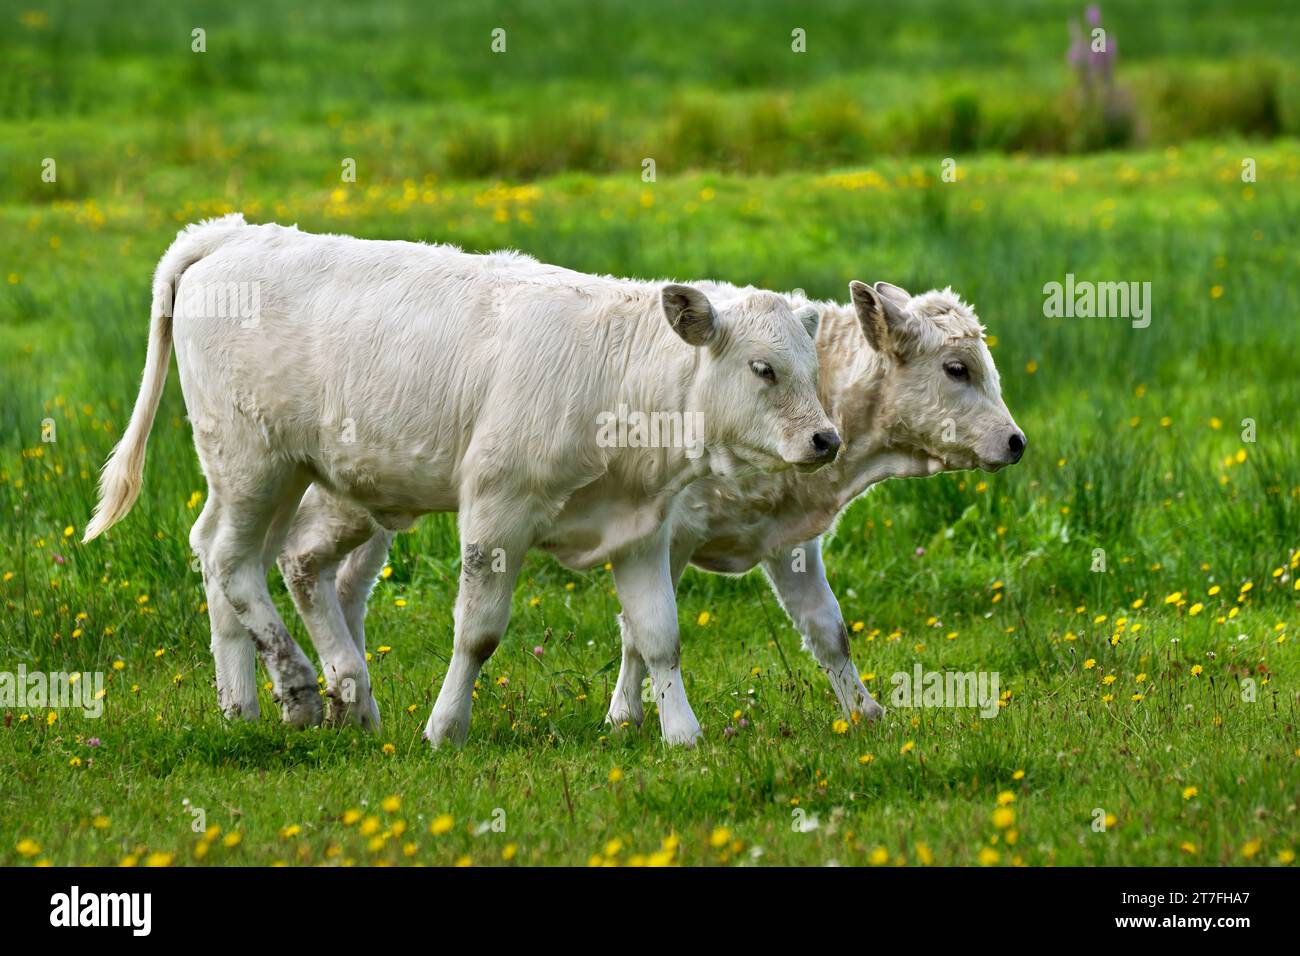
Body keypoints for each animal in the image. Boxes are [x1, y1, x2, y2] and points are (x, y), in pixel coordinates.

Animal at [83, 214, 840, 748]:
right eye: (763, 369)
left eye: (812, 366)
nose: (825, 439)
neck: (616, 376)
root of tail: (228, 234)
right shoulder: (497, 511)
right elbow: (478, 632)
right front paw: (446, 728)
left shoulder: (639, 532)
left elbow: (658, 634)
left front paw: (682, 735)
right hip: (249, 459)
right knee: (229, 559)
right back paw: (301, 687)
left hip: (284, 473)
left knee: (240, 560)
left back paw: (251, 702)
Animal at [275, 276, 1025, 741]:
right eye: (957, 369)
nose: (1017, 442)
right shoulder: (670, 532)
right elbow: (640, 632)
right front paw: (628, 717)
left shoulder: (789, 543)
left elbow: (827, 631)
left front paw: (865, 712)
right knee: (299, 559)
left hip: (376, 511)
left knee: (342, 583)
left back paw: (343, 701)